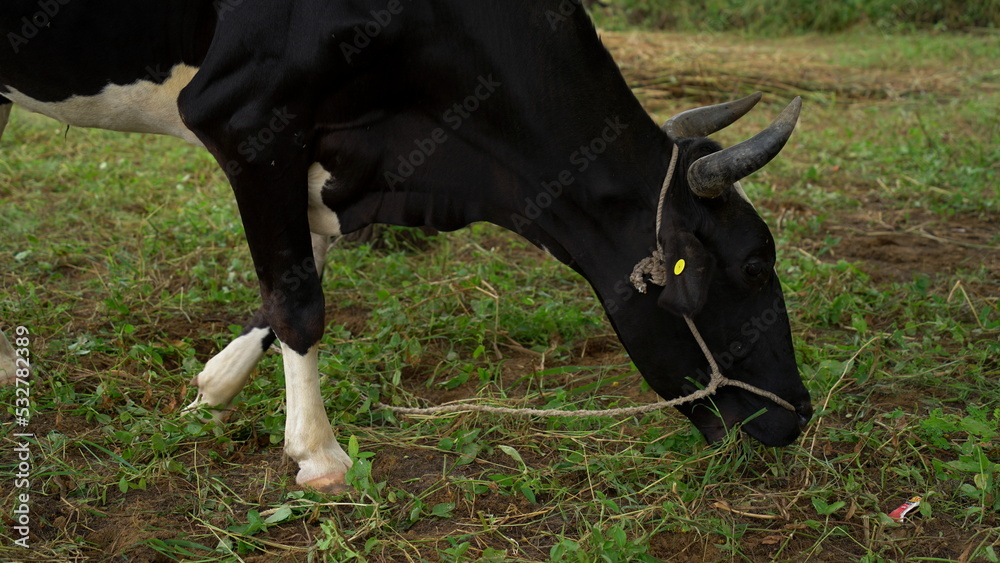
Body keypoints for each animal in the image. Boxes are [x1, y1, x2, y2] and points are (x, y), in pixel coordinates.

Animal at [1, 0, 812, 492]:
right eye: (753, 266)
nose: (799, 415)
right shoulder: (244, 112)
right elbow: (299, 303)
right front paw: (319, 455)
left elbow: (291, 279)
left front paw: (215, 385)